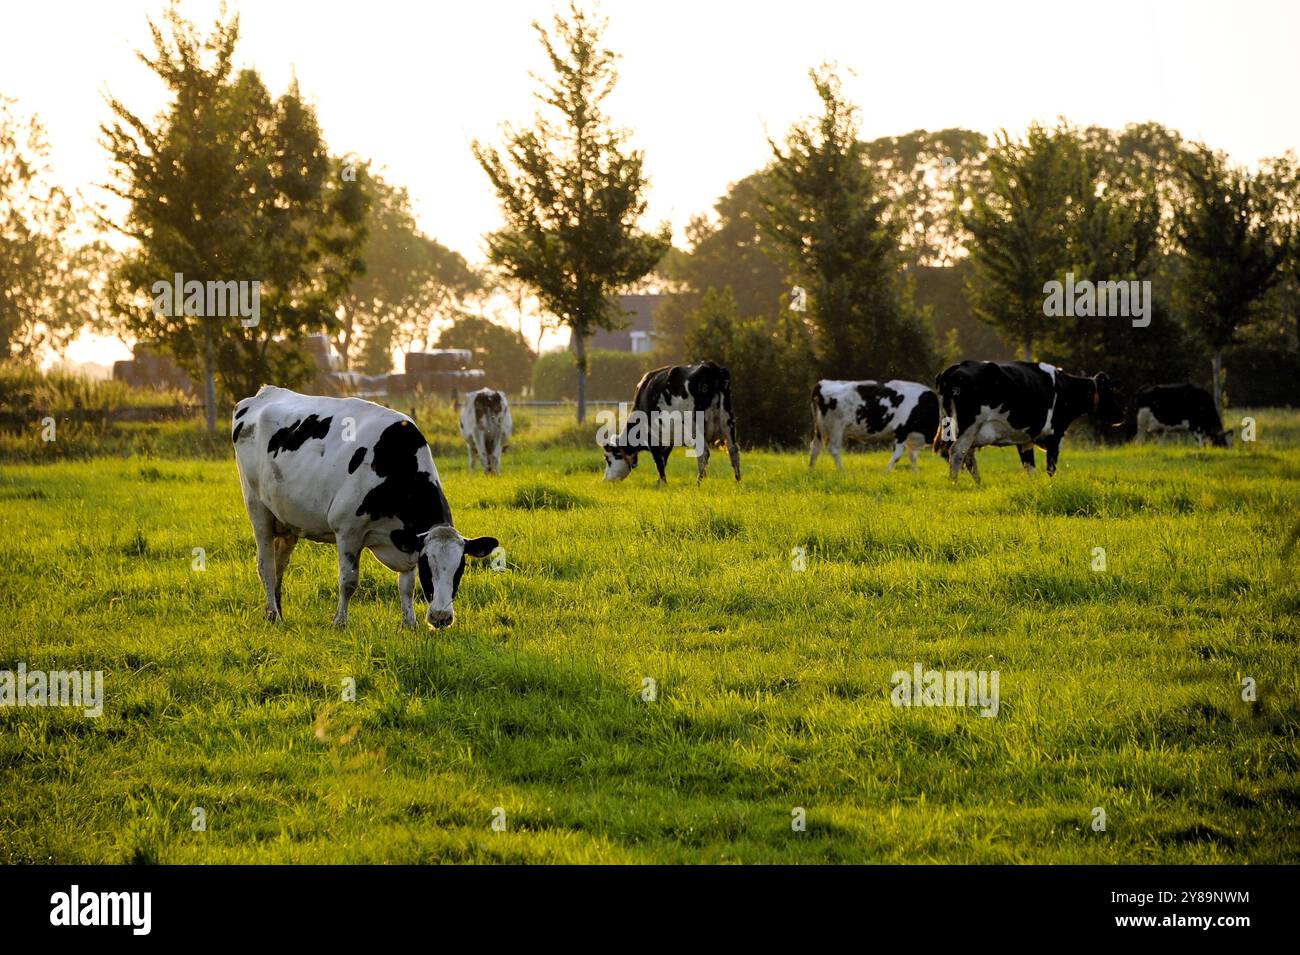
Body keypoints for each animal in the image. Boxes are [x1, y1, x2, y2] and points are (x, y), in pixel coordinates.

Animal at [232, 386, 498, 630]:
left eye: (459, 569)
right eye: (427, 566)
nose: (441, 618)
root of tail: (263, 393)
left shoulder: (408, 541)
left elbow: (407, 586)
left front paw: (410, 623)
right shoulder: (348, 531)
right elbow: (348, 581)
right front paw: (339, 622)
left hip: (287, 520)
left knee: (280, 564)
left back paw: (275, 613)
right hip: (257, 509)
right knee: (266, 565)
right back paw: (274, 615)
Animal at [600, 361, 741, 483]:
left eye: (608, 459)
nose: (605, 480)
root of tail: (710, 367)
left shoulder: (652, 436)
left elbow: (659, 461)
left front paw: (663, 483)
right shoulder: (669, 438)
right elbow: (665, 459)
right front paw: (659, 482)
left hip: (695, 425)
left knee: (704, 454)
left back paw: (699, 483)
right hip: (728, 421)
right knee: (733, 451)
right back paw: (738, 482)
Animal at [809, 379, 940, 472]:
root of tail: (823, 383)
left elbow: (913, 456)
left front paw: (916, 472)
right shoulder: (902, 431)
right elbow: (898, 454)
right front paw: (886, 471)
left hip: (820, 429)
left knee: (815, 447)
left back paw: (811, 471)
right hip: (836, 427)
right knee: (833, 449)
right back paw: (842, 471)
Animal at [933, 361, 1125, 483]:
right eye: (1110, 391)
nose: (1122, 414)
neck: (1064, 388)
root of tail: (956, 367)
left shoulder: (1025, 438)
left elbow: (1029, 466)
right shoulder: (1055, 434)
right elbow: (1051, 467)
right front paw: (1052, 486)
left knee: (968, 457)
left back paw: (979, 484)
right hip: (968, 427)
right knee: (956, 452)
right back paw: (954, 483)